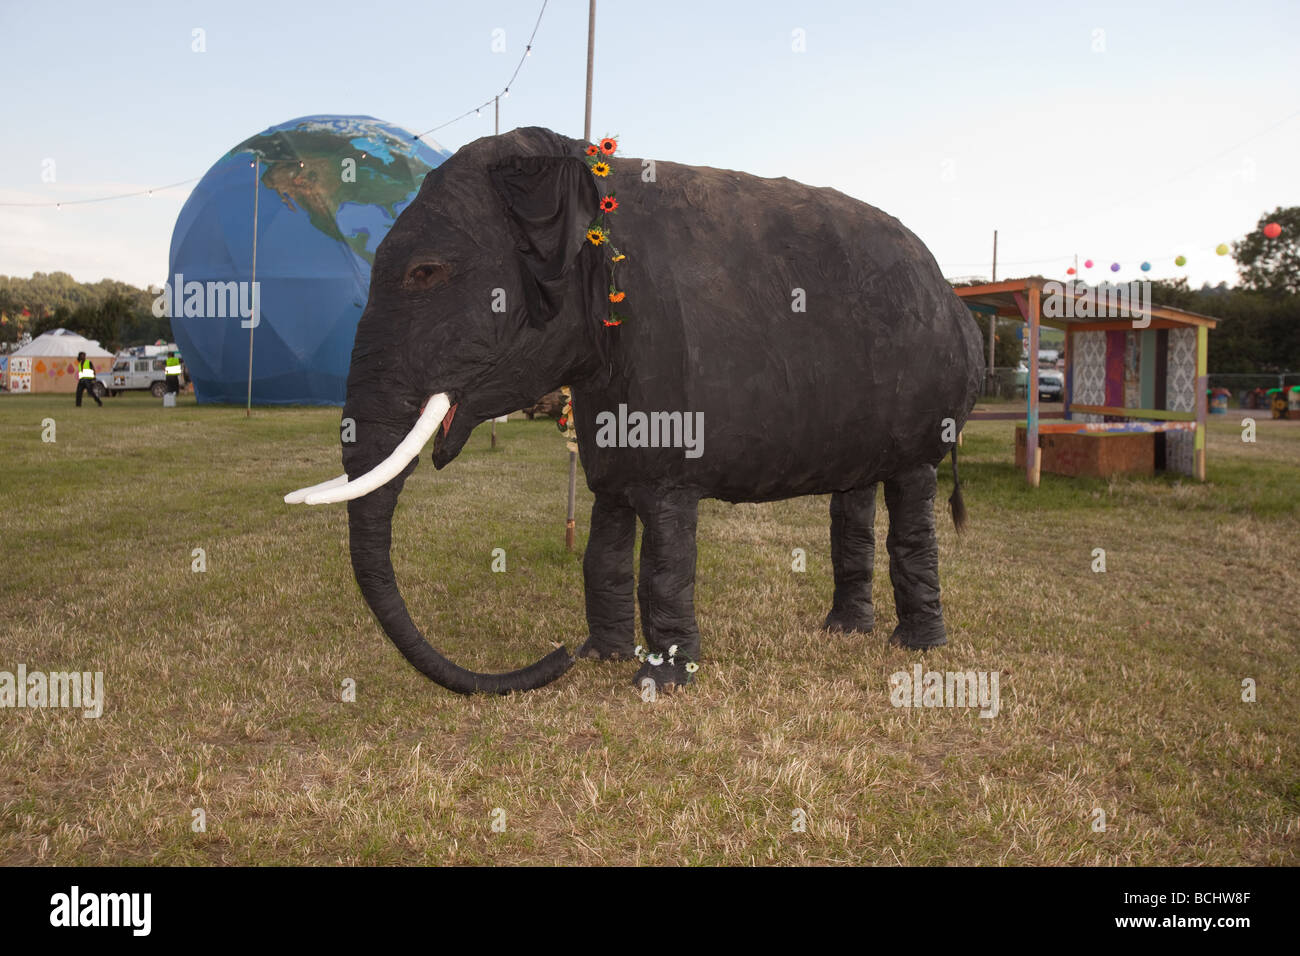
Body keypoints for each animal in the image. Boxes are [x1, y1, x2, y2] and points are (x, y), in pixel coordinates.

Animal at [286, 127, 983, 696]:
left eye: (427, 272)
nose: (556, 658)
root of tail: (953, 300)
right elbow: (603, 539)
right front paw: (602, 657)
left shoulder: (665, 382)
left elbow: (666, 551)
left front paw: (661, 684)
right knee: (853, 501)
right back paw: (843, 631)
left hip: (927, 418)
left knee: (911, 503)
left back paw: (917, 646)